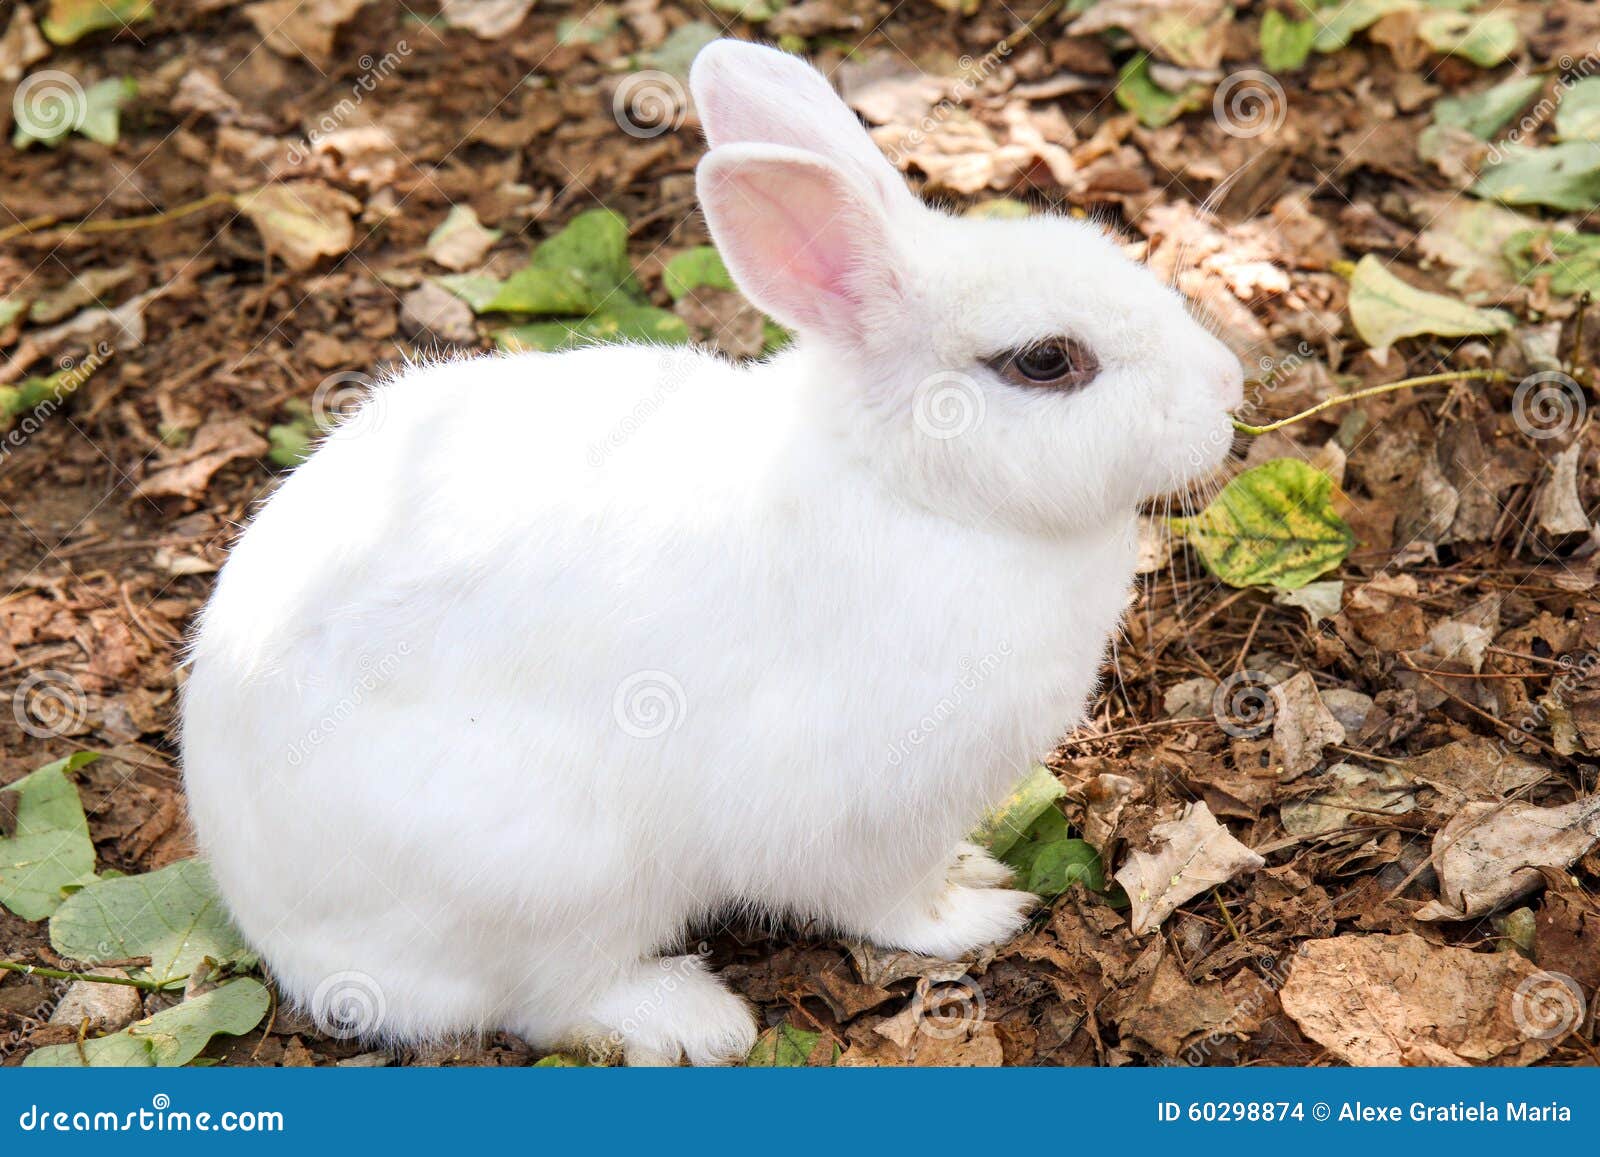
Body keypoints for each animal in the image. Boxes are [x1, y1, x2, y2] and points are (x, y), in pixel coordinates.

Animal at [180, 38, 1244, 1066]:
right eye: (1046, 361)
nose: (1231, 387)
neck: (911, 490)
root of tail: (281, 934)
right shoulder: (859, 810)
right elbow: (889, 900)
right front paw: (978, 911)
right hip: (557, 871)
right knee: (548, 999)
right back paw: (695, 1019)